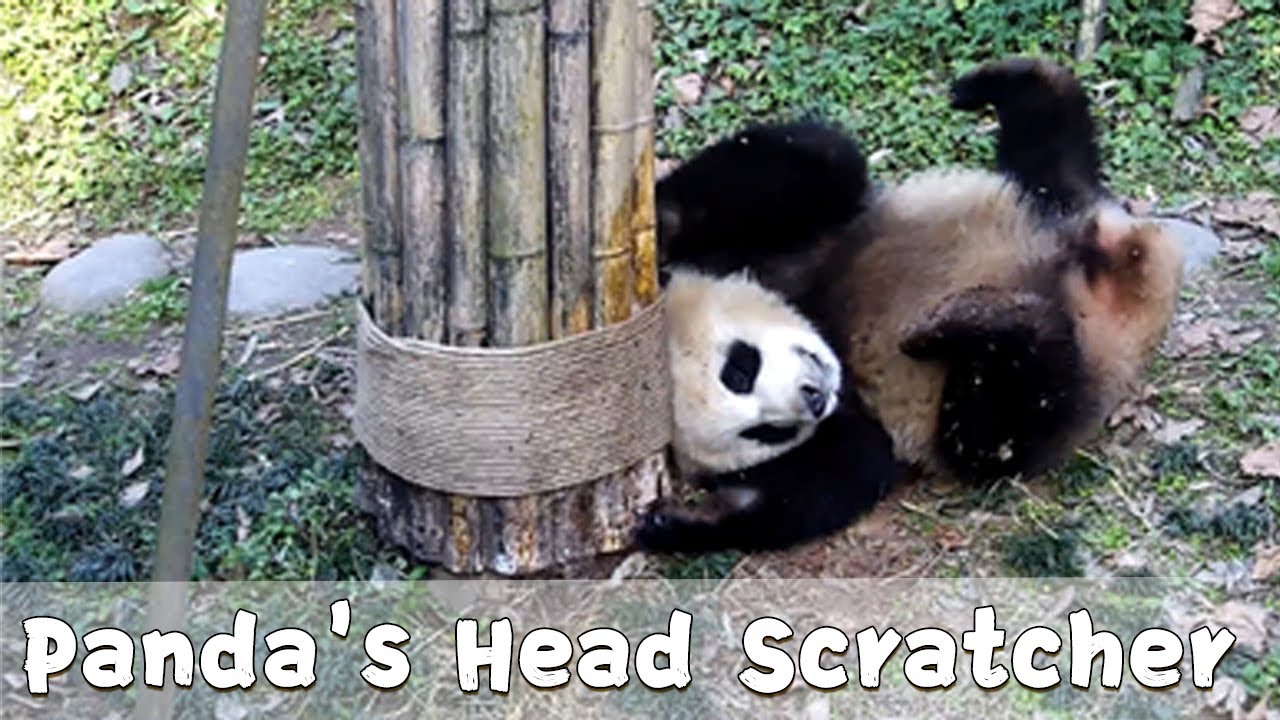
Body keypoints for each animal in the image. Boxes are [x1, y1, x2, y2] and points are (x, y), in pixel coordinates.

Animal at [641, 57, 1185, 554]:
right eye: (766, 432)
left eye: (740, 367)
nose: (813, 396)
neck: (825, 325)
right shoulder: (849, 425)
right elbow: (826, 488)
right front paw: (684, 521)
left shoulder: (789, 241)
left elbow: (817, 161)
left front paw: (661, 222)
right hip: (1037, 404)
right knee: (1001, 422)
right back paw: (987, 322)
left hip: (1049, 210)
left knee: (1051, 162)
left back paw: (1004, 83)